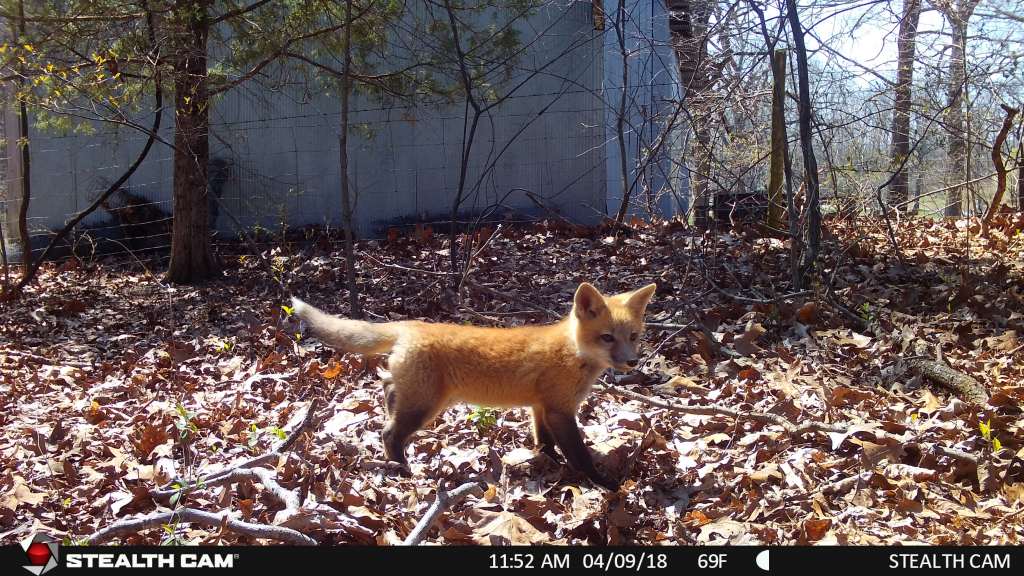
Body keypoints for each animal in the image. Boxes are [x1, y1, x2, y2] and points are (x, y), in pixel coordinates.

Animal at [290, 281, 657, 490]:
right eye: (607, 338)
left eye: (633, 336)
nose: (632, 363)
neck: (573, 353)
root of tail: (412, 325)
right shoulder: (560, 410)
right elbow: (580, 456)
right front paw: (604, 484)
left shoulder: (541, 407)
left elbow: (544, 442)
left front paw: (547, 460)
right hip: (425, 407)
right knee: (389, 433)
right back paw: (402, 470)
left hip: (413, 396)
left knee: (387, 395)